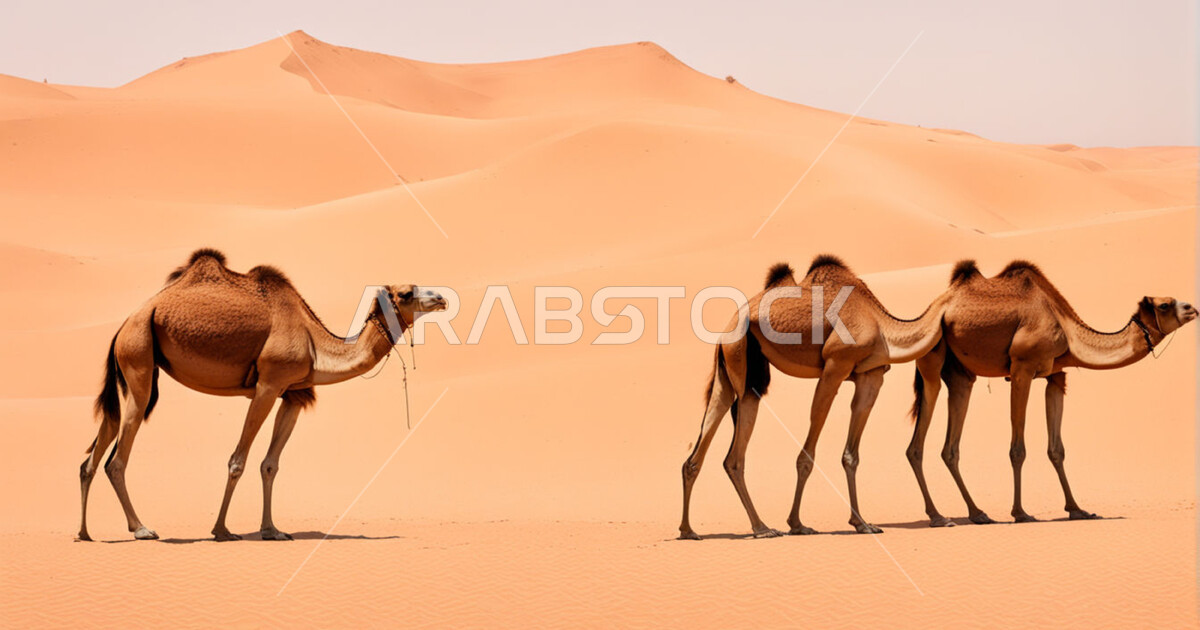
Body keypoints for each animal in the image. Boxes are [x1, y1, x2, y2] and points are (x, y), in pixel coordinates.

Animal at [77, 248, 447, 542]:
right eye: (406, 293)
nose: (441, 298)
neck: (315, 343)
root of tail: (125, 324)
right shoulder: (267, 385)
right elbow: (237, 461)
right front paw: (222, 530)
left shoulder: (293, 394)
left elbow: (270, 464)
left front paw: (272, 530)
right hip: (139, 356)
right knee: (116, 459)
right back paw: (141, 528)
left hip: (133, 369)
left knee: (94, 452)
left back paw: (84, 532)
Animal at [679, 255, 949, 539]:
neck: (880, 323)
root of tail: (727, 328)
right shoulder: (835, 366)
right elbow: (807, 456)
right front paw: (797, 523)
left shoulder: (871, 375)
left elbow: (851, 454)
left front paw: (862, 523)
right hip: (742, 356)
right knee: (734, 454)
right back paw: (762, 528)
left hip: (728, 370)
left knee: (705, 438)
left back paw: (688, 529)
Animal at [906, 260, 1196, 526]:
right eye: (1165, 305)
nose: (1192, 309)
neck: (1067, 331)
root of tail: (937, 306)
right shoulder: (1022, 368)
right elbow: (1018, 449)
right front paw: (1021, 513)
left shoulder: (1056, 376)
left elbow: (1057, 449)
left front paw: (1078, 510)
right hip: (932, 352)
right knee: (917, 443)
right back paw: (939, 516)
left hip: (960, 373)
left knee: (950, 446)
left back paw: (977, 513)